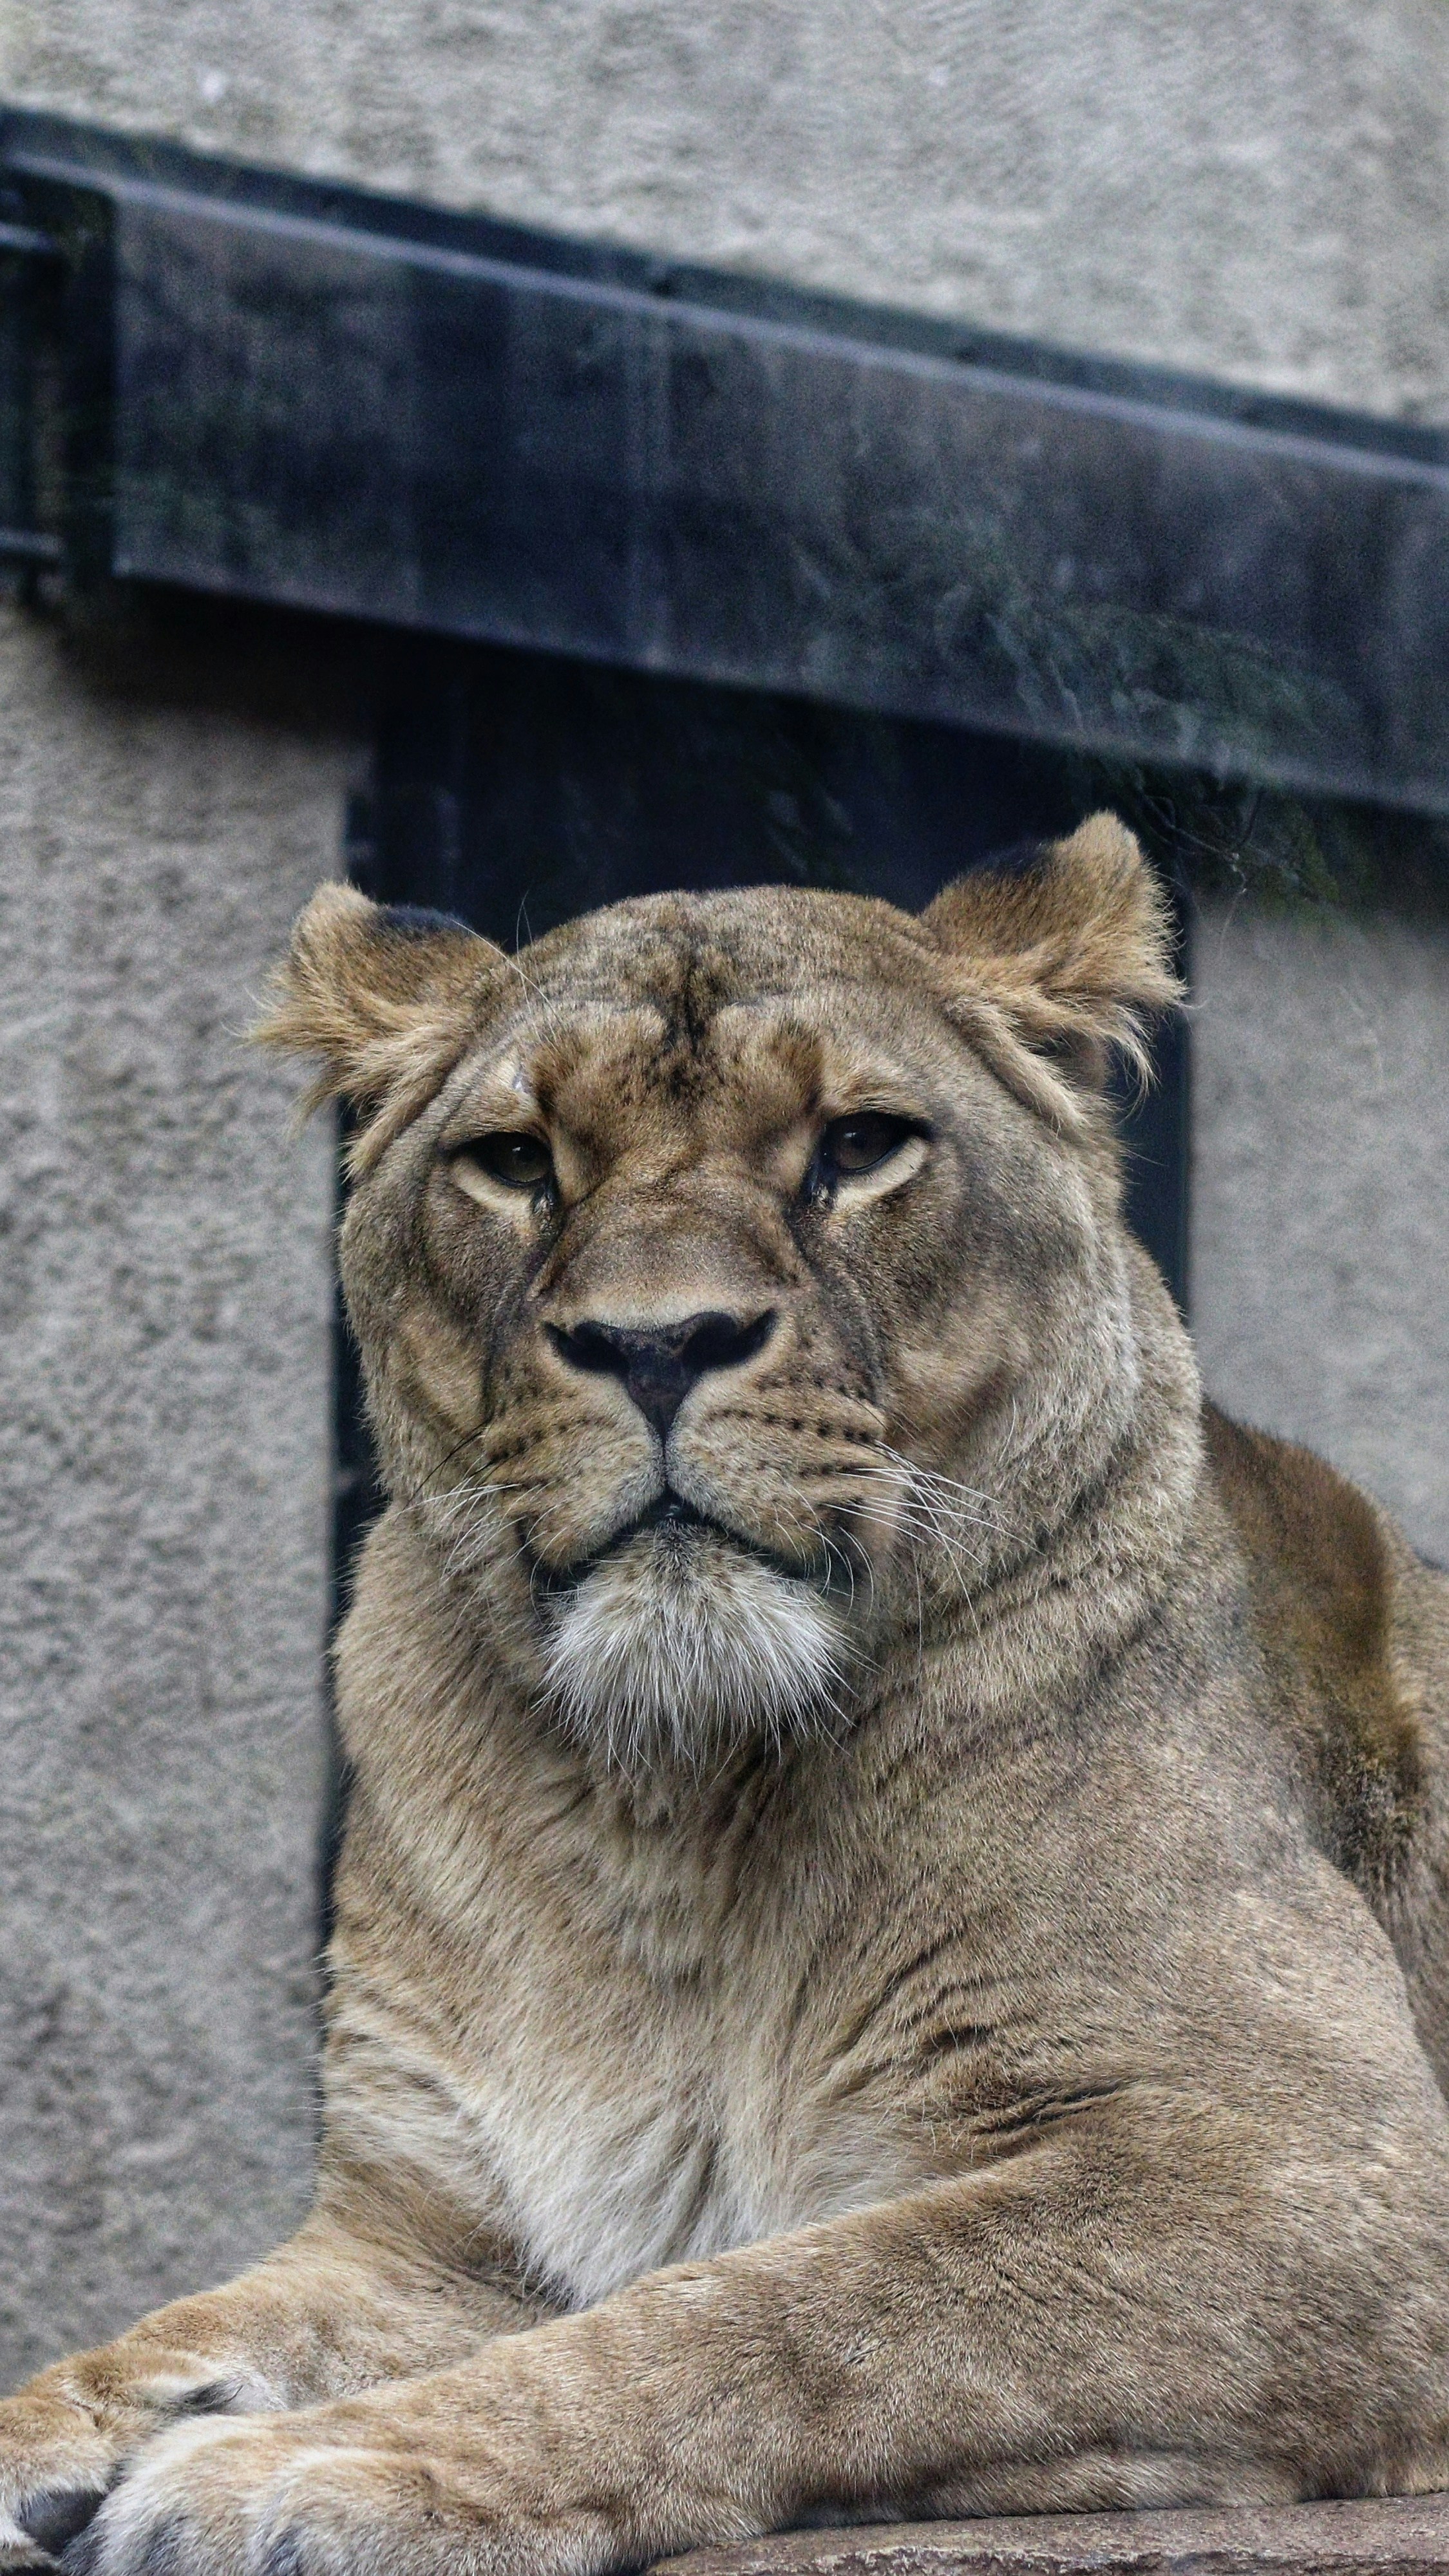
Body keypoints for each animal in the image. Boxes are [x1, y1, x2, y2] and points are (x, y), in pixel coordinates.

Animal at [4, 815, 1449, 2576]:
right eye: (516, 1161)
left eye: (862, 1144)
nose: (656, 1342)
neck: (668, 1800)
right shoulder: (429, 2232)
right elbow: (164, 2333)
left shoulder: (1307, 2166)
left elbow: (782, 2311)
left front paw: (306, 2472)